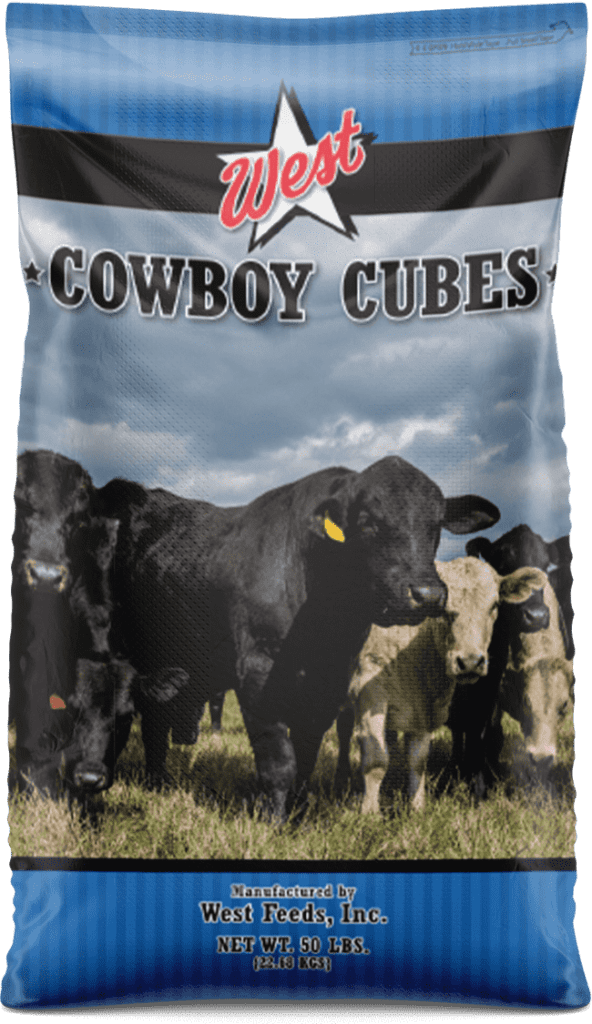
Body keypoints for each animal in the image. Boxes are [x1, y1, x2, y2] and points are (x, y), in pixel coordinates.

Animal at [94, 456, 500, 821]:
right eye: (368, 522)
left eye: (436, 525)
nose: (427, 594)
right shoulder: (257, 676)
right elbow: (279, 760)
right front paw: (274, 818)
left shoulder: (330, 684)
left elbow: (306, 753)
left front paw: (301, 809)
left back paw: (158, 781)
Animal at [334, 557, 548, 814]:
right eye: (443, 607)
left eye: (495, 605)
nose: (470, 661)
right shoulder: (369, 692)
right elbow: (376, 759)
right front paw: (370, 814)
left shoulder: (424, 708)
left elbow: (418, 760)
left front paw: (417, 808)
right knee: (344, 731)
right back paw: (342, 779)